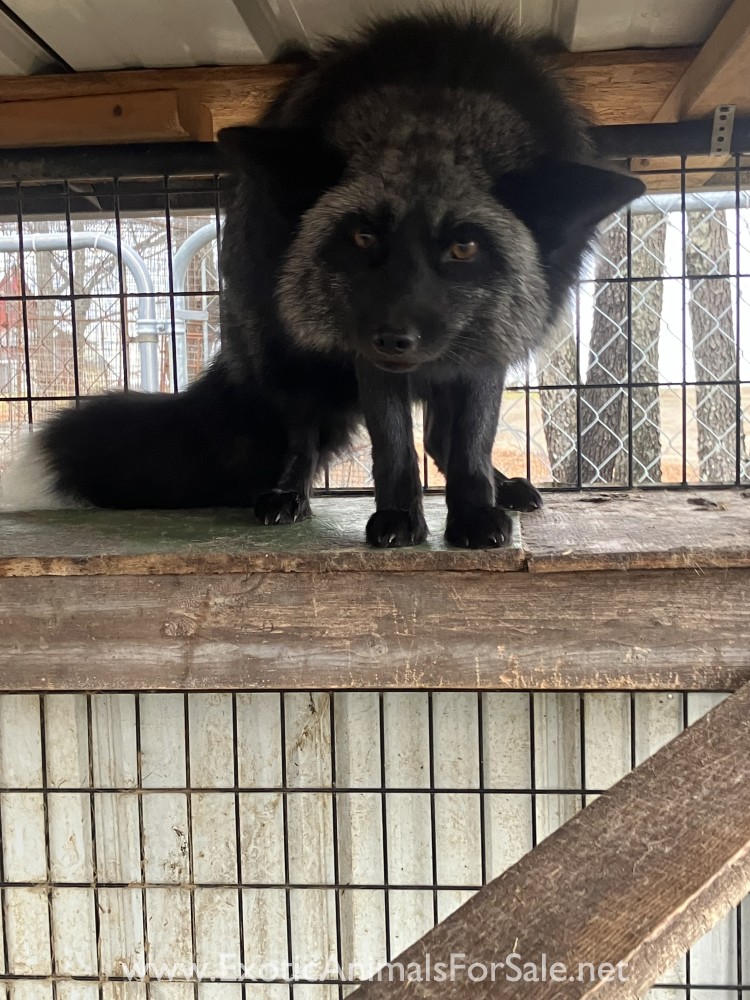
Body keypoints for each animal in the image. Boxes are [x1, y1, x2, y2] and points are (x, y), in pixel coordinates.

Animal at [1, 10, 644, 548]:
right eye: (362, 238)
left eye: (464, 247)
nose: (395, 338)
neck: (433, 104)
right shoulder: (364, 354)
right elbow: (392, 448)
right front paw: (397, 518)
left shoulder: (488, 346)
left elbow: (467, 444)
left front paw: (475, 510)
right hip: (285, 352)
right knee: (302, 434)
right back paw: (288, 494)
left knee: (440, 438)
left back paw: (502, 485)